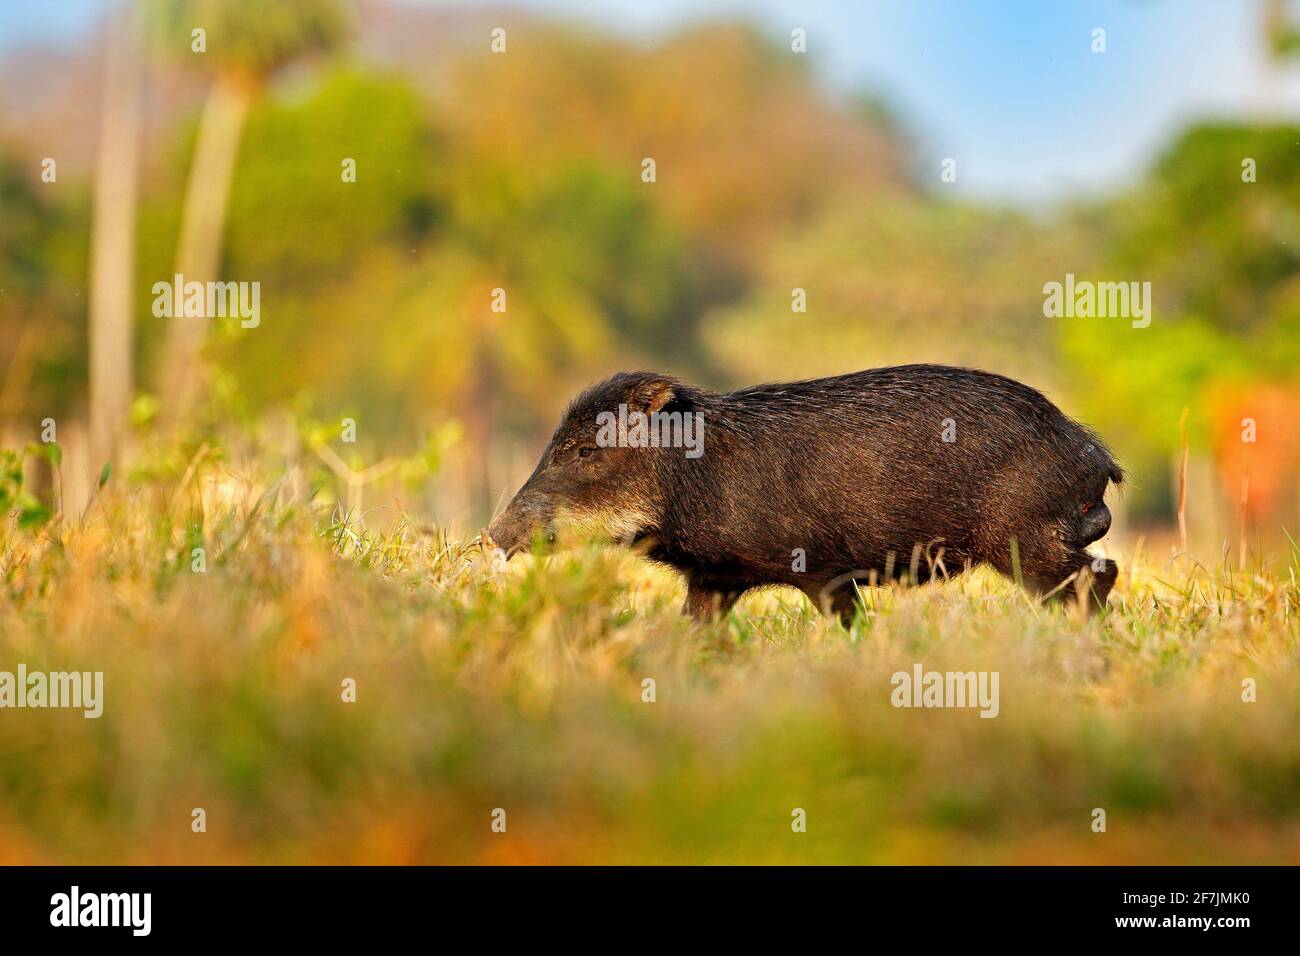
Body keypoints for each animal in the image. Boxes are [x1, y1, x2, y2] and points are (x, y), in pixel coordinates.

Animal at [483, 365, 1122, 620]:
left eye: (585, 452)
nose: (493, 536)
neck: (692, 479)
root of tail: (1092, 453)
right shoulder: (714, 578)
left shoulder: (825, 571)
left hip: (1023, 540)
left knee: (1097, 576)